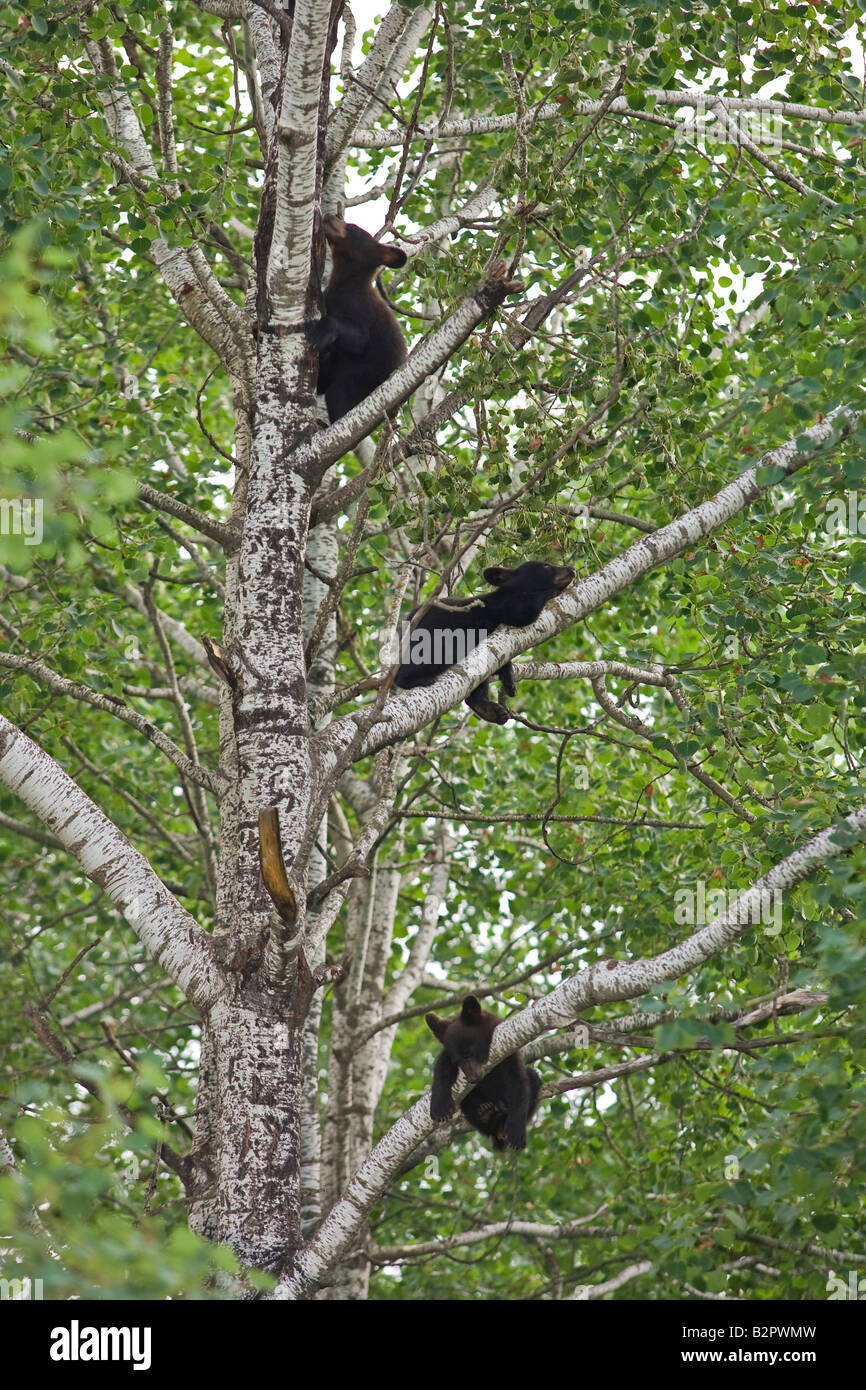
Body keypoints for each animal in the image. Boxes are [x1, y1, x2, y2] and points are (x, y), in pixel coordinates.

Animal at [308, 214, 408, 423]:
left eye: (353, 227)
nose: (329, 215)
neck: (345, 284)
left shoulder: (362, 310)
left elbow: (359, 339)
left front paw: (321, 333)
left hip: (364, 377)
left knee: (338, 392)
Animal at [394, 560, 575, 723]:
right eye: (546, 565)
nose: (572, 568)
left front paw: (508, 680)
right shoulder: (499, 607)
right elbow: (522, 613)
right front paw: (551, 591)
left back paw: (490, 710)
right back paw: (414, 679)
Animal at [425, 996, 542, 1151]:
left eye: (468, 1054)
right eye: (458, 1061)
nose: (472, 1079)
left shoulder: (508, 1053)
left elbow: (518, 1082)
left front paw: (516, 1130)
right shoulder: (448, 1054)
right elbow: (442, 1067)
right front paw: (440, 1105)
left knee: (533, 1078)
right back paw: (484, 1110)